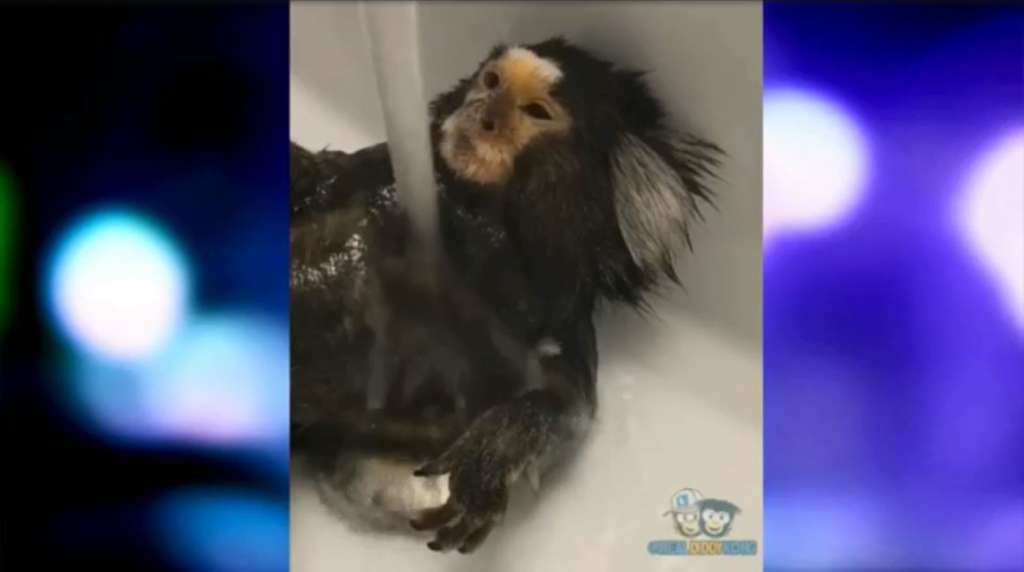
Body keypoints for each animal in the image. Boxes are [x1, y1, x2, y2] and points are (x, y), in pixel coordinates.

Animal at [290, 37, 722, 554]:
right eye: (491, 81)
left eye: (536, 111)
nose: (484, 114)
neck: (472, 211)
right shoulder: (369, 169)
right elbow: (321, 181)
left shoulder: (560, 313)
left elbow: (568, 408)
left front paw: (492, 454)